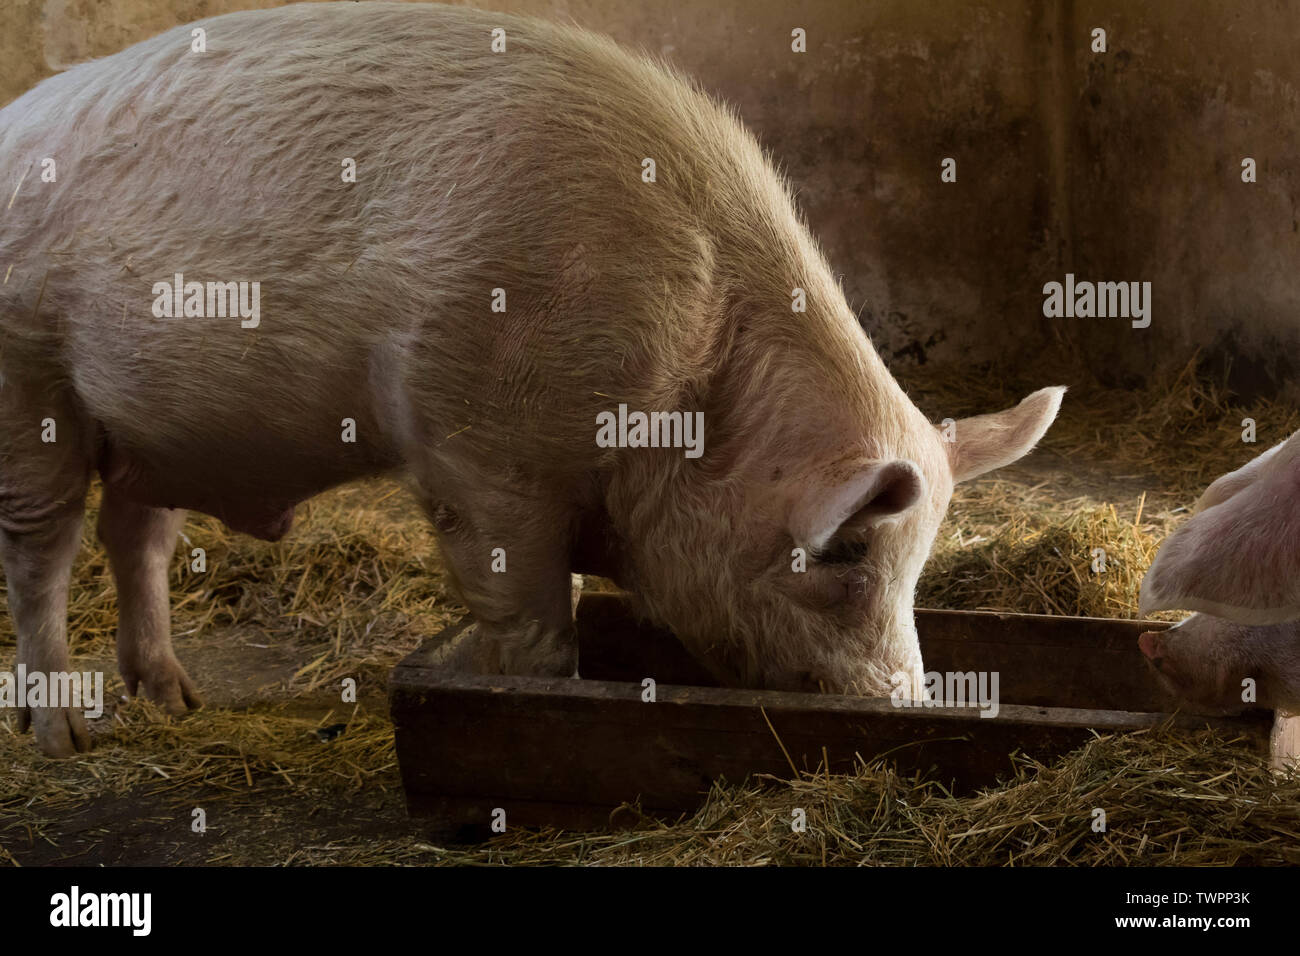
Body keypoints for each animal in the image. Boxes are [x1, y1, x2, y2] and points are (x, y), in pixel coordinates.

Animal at [0, 2, 1064, 755]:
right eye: (844, 554)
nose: (908, 702)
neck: (689, 388)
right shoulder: (477, 452)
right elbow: (530, 616)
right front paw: (542, 700)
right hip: (28, 384)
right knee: (42, 554)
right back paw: (64, 739)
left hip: (156, 430)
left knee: (135, 534)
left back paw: (176, 702)